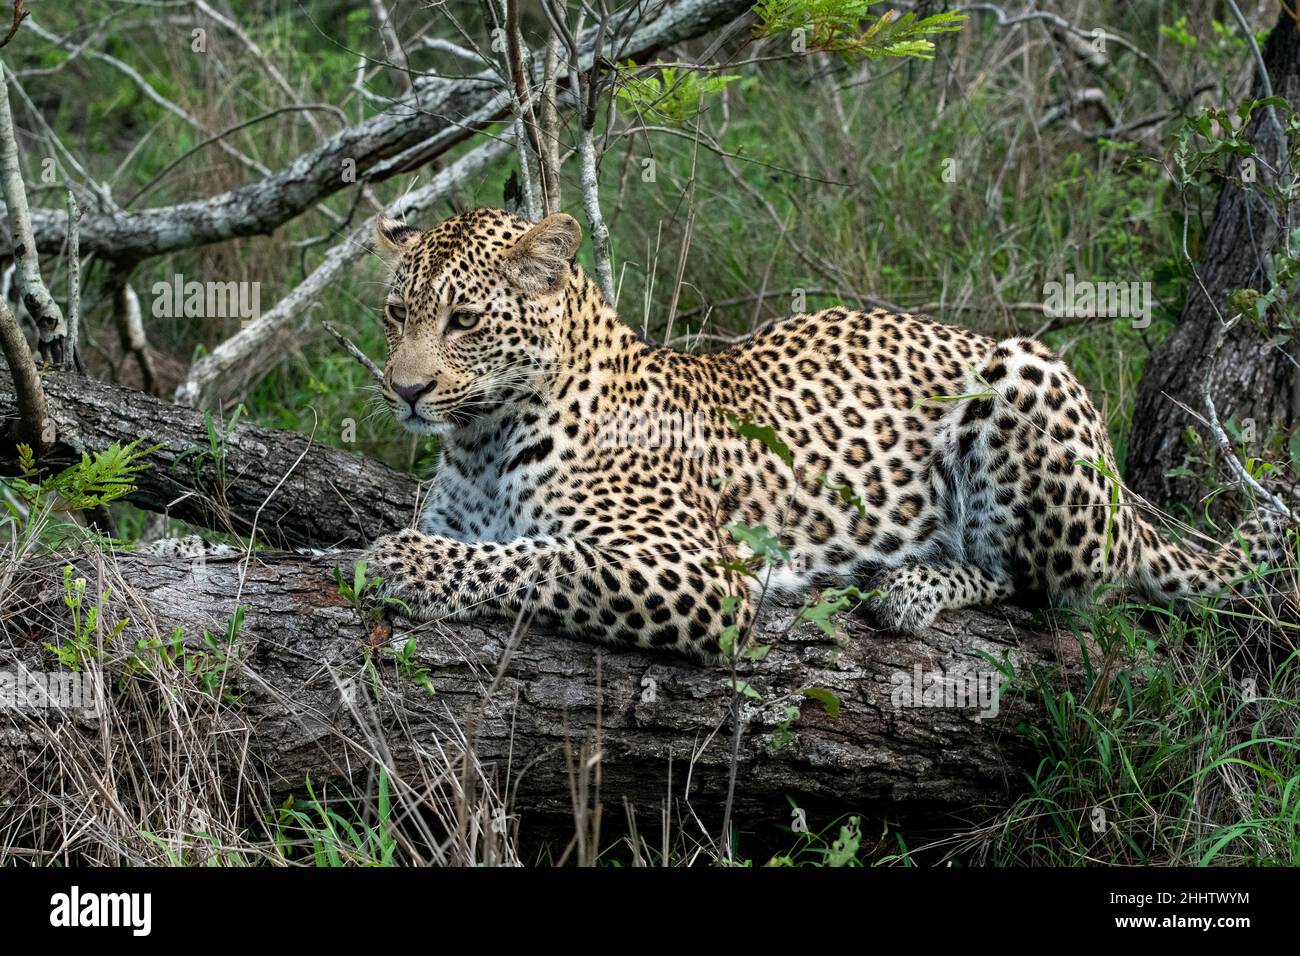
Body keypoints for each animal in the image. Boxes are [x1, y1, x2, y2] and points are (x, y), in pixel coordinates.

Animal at [359, 206, 1283, 662]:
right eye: (396, 313)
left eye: (464, 319)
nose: (405, 390)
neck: (481, 441)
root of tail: (1124, 497)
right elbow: (502, 547)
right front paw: (410, 550)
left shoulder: (695, 572)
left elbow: (540, 560)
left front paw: (404, 563)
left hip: (1026, 374)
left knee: (1046, 586)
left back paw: (908, 584)